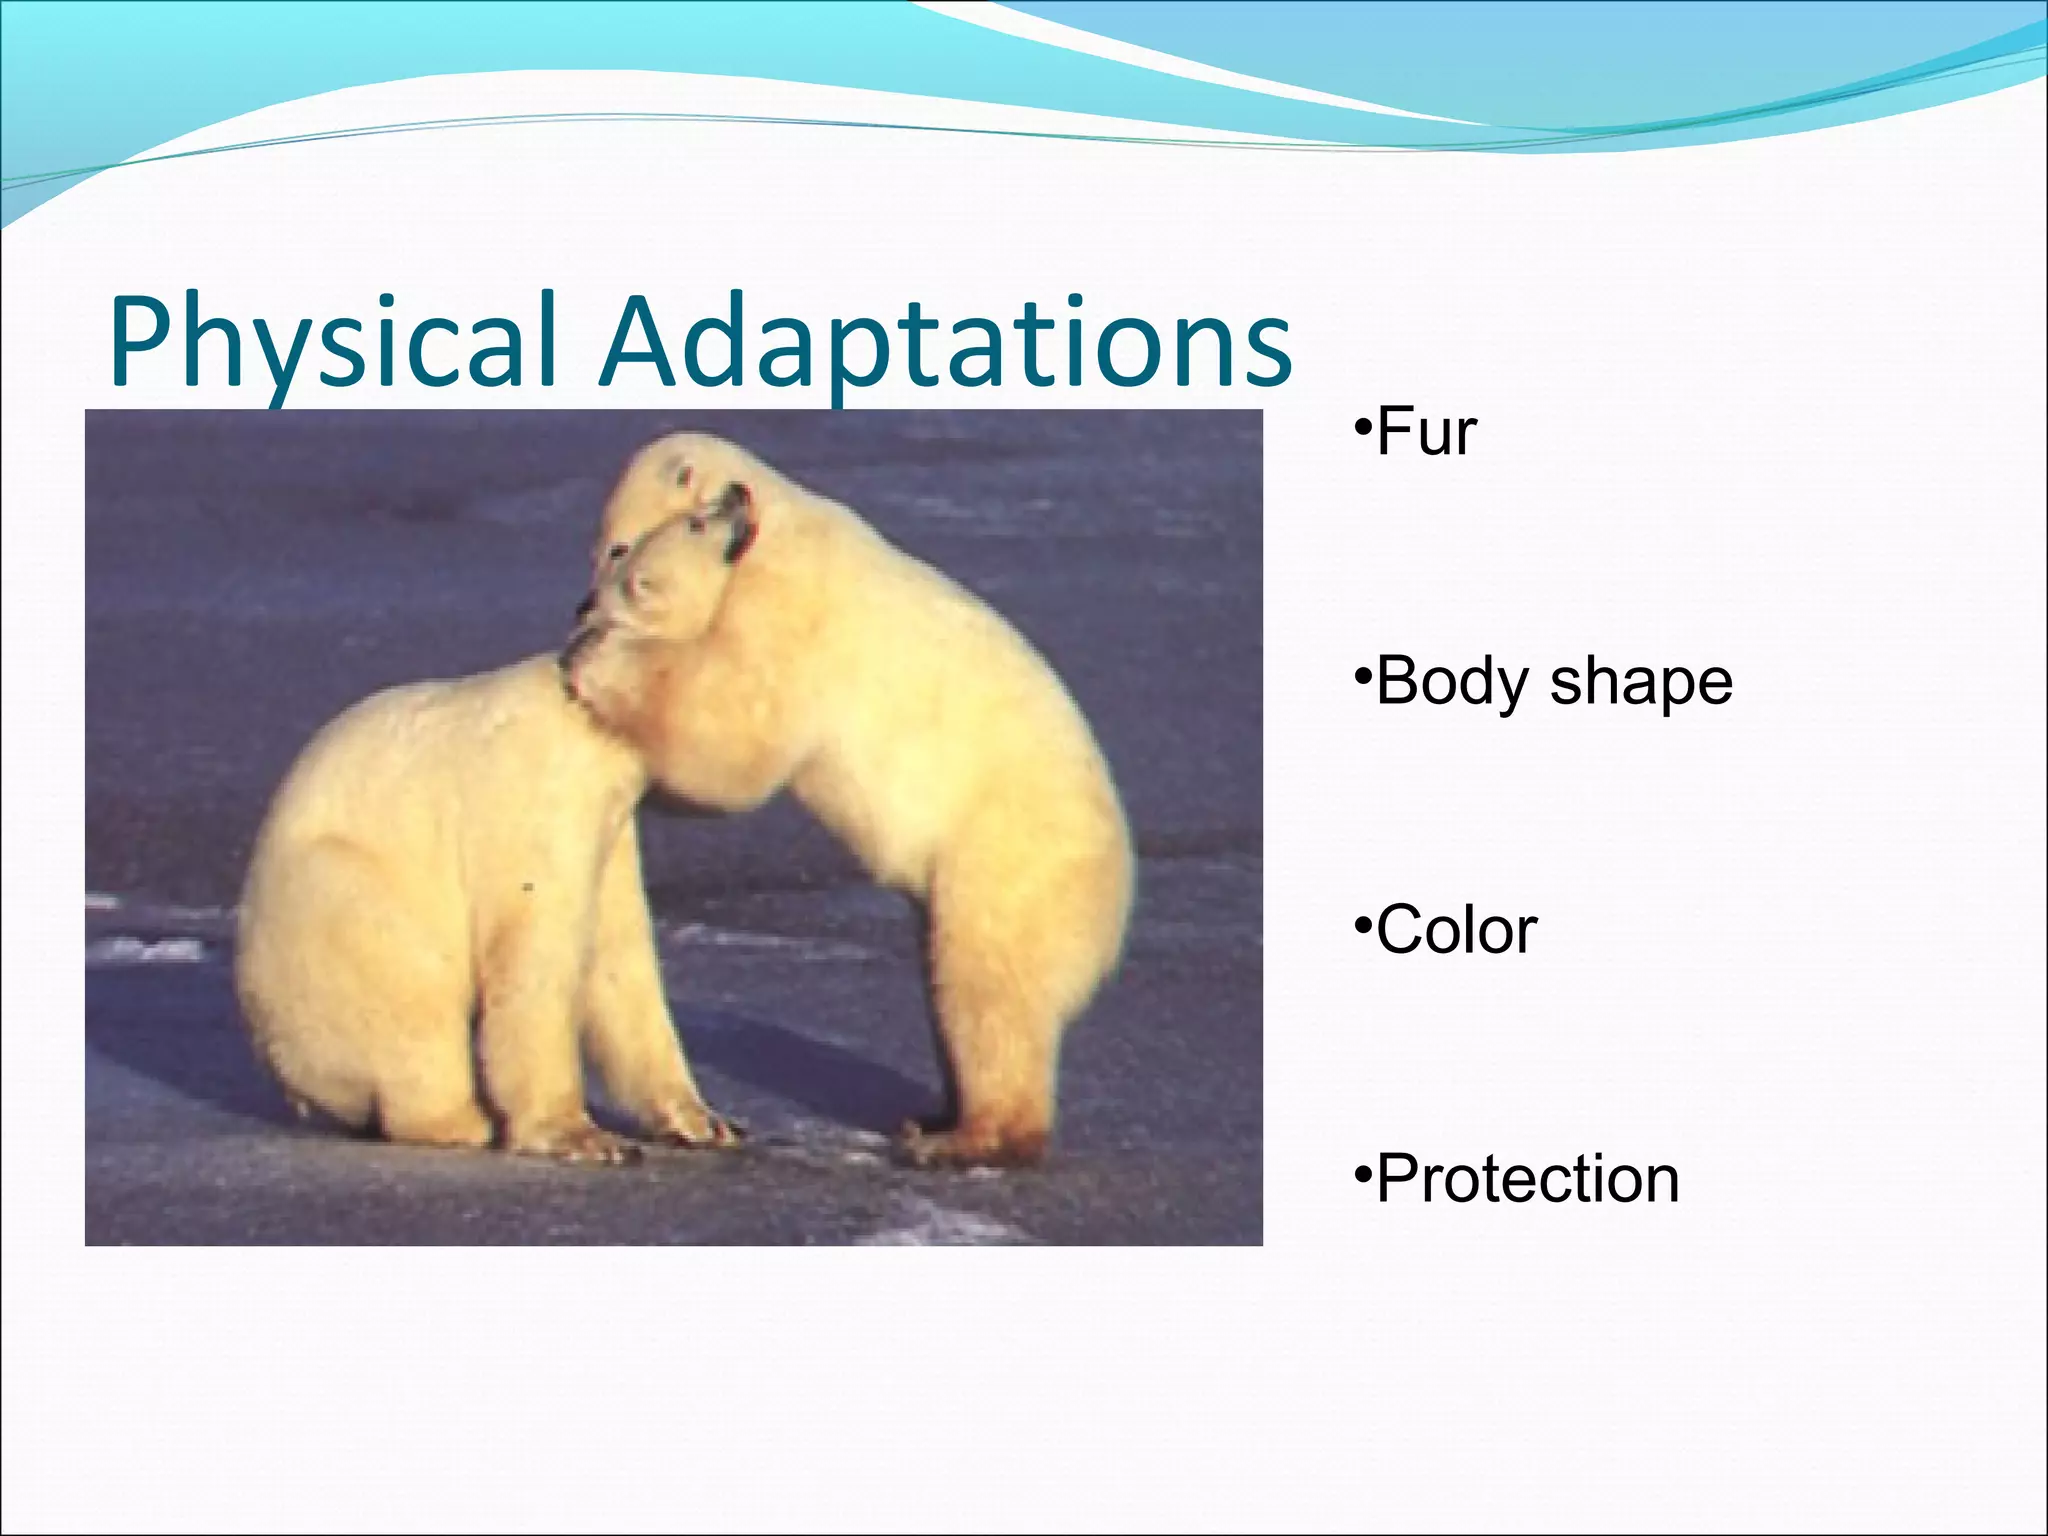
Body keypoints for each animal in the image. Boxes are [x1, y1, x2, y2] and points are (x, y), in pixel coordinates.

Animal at [235, 494, 756, 1164]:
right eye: (695, 521)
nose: (739, 494)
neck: (585, 712)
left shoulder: (610, 828)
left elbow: (620, 959)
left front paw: (706, 1121)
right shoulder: (535, 806)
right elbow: (535, 954)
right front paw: (582, 1135)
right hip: (339, 907)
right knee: (410, 996)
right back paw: (462, 1120)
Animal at [563, 433, 1135, 1167]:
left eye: (614, 548)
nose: (582, 603)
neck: (773, 521)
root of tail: (1115, 905)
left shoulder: (785, 601)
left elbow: (738, 729)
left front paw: (598, 661)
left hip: (1007, 856)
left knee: (987, 986)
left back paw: (967, 1136)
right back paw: (931, 1113)